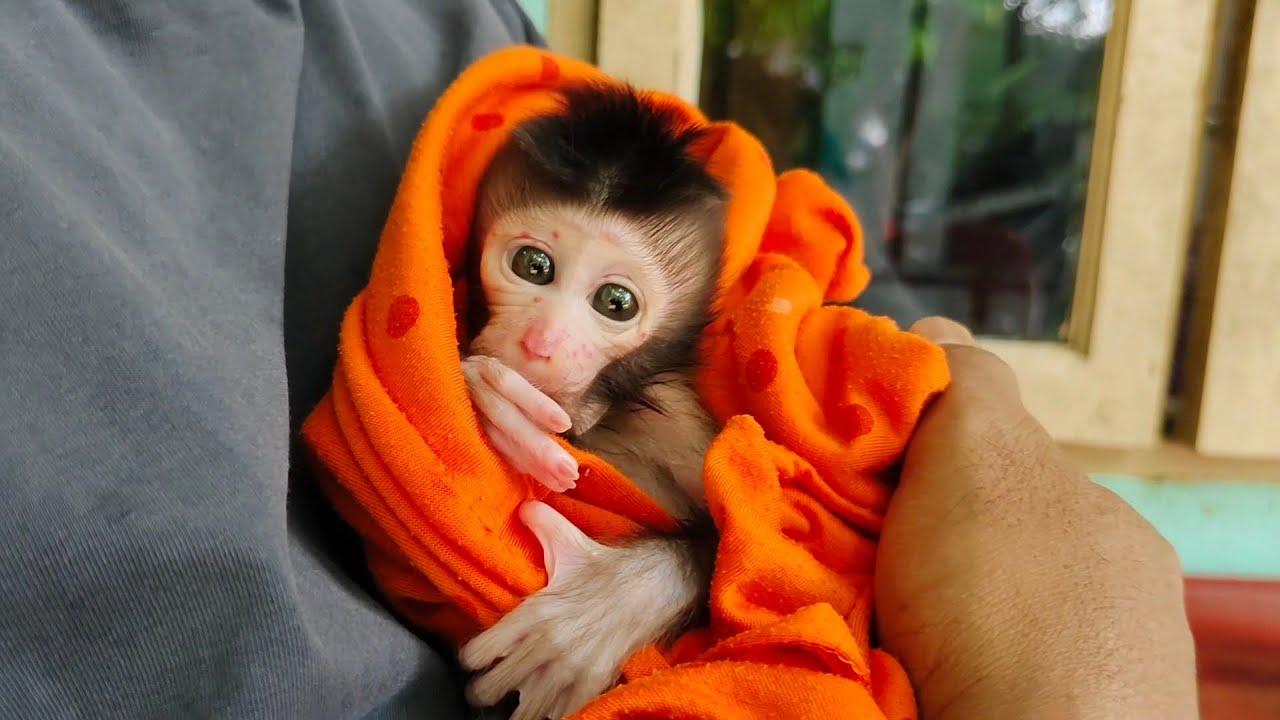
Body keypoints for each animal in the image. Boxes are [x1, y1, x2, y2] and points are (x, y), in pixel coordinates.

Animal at [453, 82, 728, 720]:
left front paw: (598, 614)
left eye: (615, 303)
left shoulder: (681, 425)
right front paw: (498, 401)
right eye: (534, 266)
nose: (543, 342)